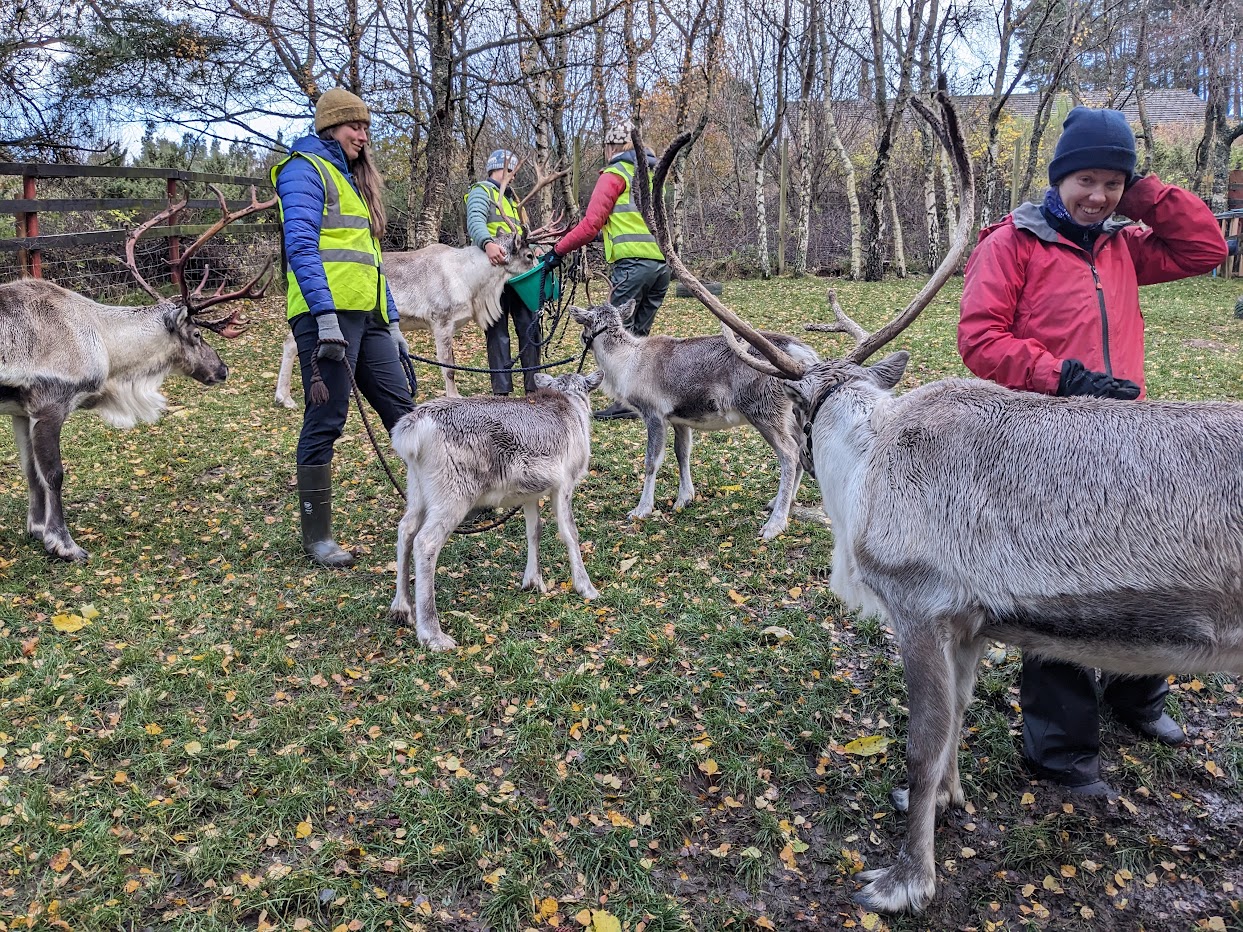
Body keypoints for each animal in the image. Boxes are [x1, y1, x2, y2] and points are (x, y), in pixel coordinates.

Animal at [0, 186, 273, 561]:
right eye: (197, 334)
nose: (222, 370)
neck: (105, 345)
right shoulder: (49, 406)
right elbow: (53, 474)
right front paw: (63, 544)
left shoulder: (20, 411)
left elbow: (30, 472)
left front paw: (37, 528)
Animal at [274, 160, 566, 404]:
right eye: (529, 255)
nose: (546, 271)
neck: (472, 282)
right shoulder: (440, 320)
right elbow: (448, 368)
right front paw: (454, 397)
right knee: (291, 341)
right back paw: (285, 398)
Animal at [387, 370, 604, 651]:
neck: (572, 404)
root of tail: (411, 429)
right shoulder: (565, 483)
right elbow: (570, 533)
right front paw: (586, 587)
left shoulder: (531, 494)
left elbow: (534, 531)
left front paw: (533, 582)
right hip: (453, 494)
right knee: (425, 542)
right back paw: (433, 635)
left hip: (417, 490)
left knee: (406, 529)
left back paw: (401, 608)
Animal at [641, 89, 1243, 914]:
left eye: (802, 415)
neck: (865, 461)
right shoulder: (971, 622)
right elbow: (957, 718)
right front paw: (952, 803)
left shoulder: (918, 604)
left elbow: (922, 744)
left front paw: (904, 879)